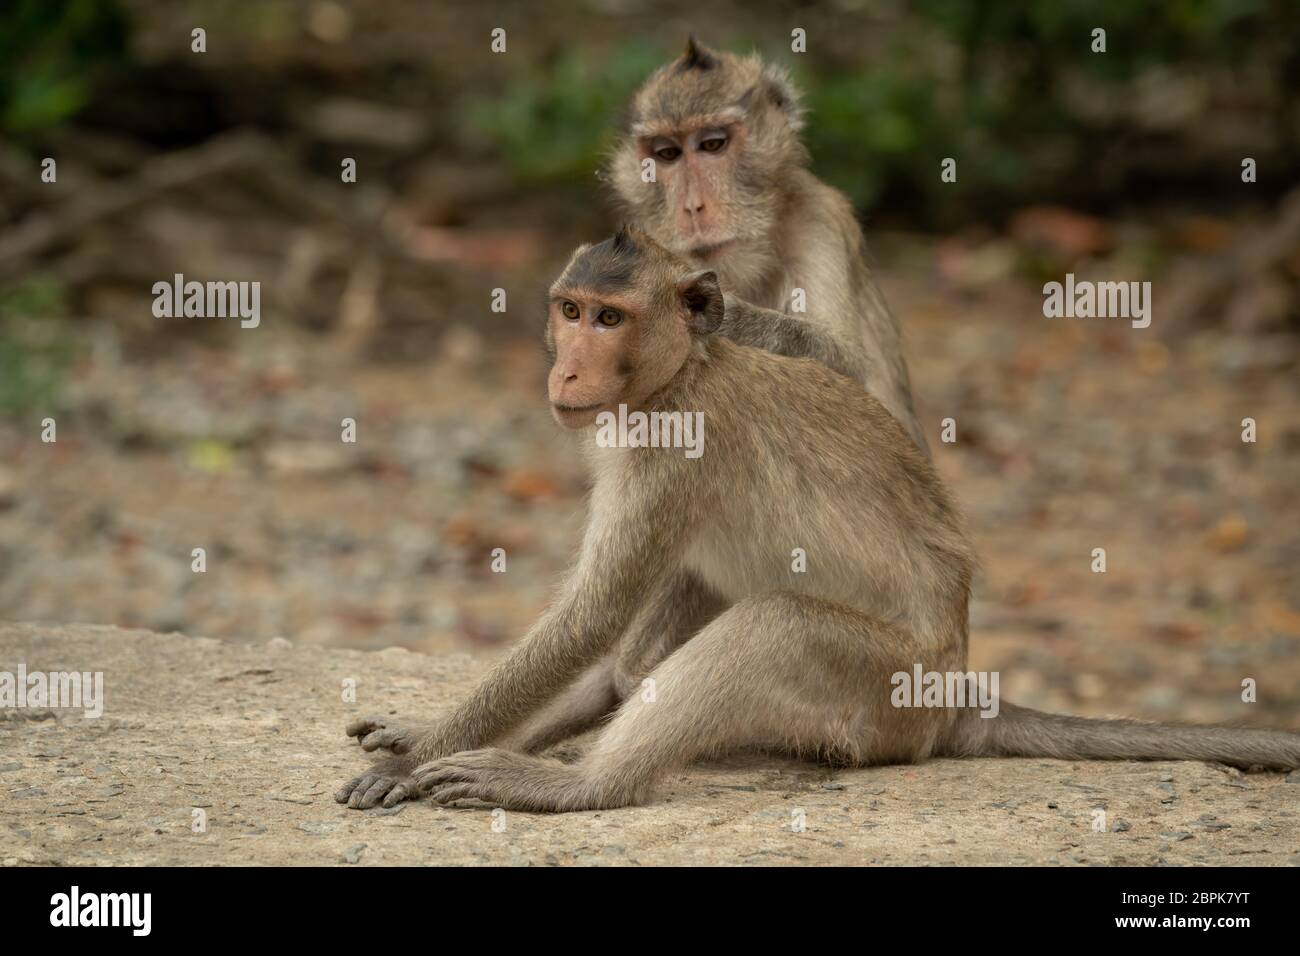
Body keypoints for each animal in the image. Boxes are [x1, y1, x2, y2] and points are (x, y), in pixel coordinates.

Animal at [335, 226, 1300, 813]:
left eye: (609, 318)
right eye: (569, 311)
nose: (566, 371)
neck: (682, 373)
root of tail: (955, 695)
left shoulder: (673, 452)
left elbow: (594, 614)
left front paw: (415, 759)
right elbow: (632, 633)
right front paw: (425, 734)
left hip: (882, 691)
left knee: (776, 627)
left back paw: (582, 787)